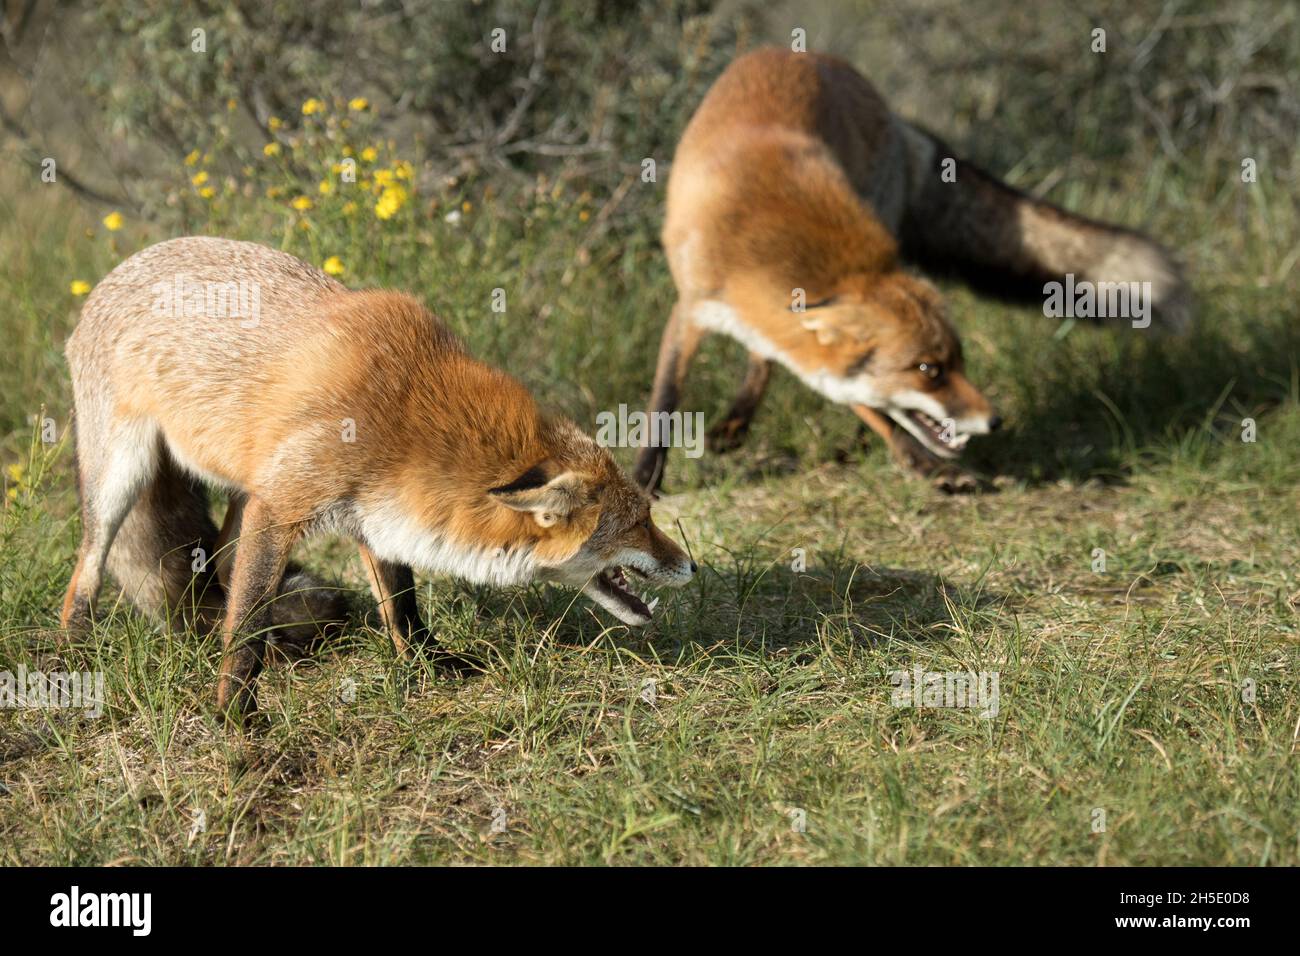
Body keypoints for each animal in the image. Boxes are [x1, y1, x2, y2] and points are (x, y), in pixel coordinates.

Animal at [61, 236, 696, 720]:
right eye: (639, 523)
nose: (692, 566)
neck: (405, 405)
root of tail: (116, 272)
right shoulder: (285, 509)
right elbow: (246, 628)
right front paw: (235, 714)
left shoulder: (374, 514)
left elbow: (402, 607)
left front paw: (433, 666)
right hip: (121, 478)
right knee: (89, 571)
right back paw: (74, 655)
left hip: (248, 490)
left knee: (219, 567)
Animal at [633, 47, 1189, 492]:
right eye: (928, 370)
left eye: (960, 362)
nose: (995, 421)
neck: (759, 234)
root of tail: (815, 55)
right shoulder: (690, 309)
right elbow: (663, 402)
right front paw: (645, 480)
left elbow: (871, 403)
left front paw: (922, 463)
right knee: (764, 357)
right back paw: (736, 424)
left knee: (778, 362)